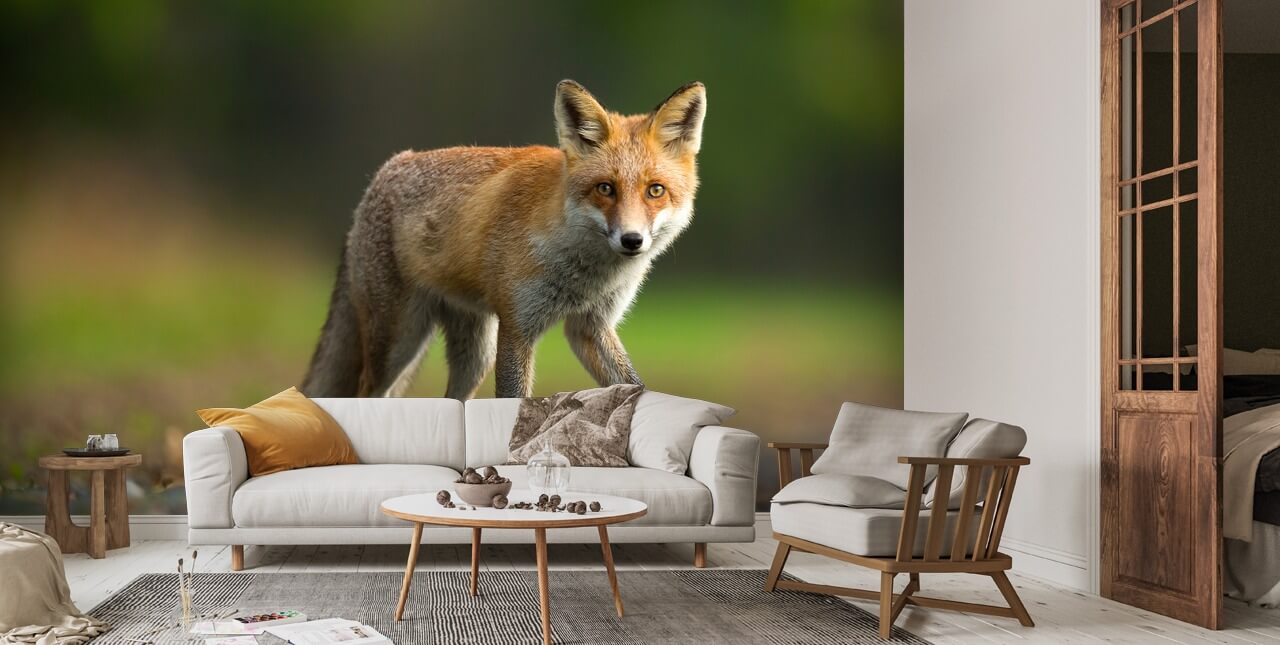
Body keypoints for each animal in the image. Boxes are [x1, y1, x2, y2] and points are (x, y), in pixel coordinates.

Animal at [301, 80, 707, 399]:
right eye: (605, 188)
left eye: (655, 191)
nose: (632, 240)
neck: (582, 271)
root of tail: (384, 171)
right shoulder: (517, 326)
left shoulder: (590, 327)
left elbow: (636, 387)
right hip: (397, 343)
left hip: (475, 353)